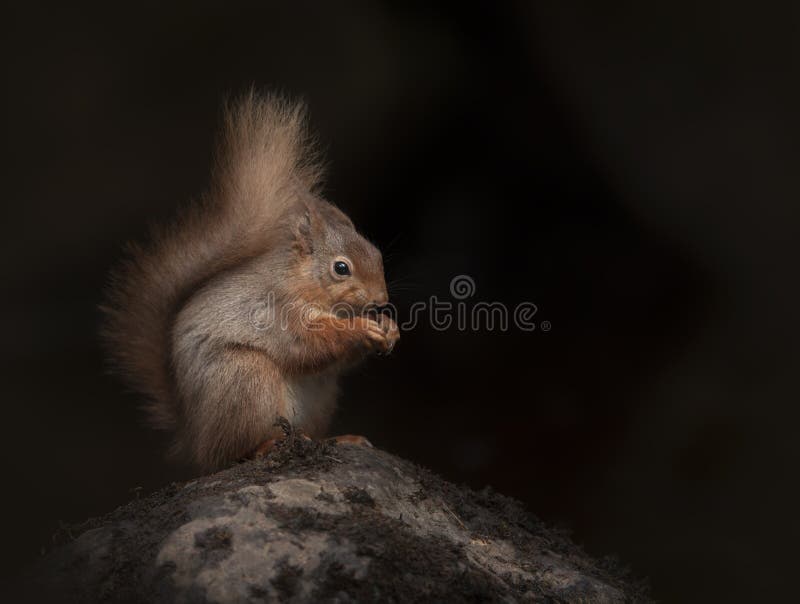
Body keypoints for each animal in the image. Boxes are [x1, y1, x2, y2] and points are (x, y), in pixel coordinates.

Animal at [101, 92, 399, 472]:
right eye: (341, 268)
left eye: (376, 253)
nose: (380, 299)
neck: (303, 281)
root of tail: (195, 437)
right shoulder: (277, 308)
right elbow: (308, 342)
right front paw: (362, 328)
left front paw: (388, 328)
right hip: (245, 380)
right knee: (230, 453)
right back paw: (264, 446)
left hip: (318, 398)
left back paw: (338, 438)